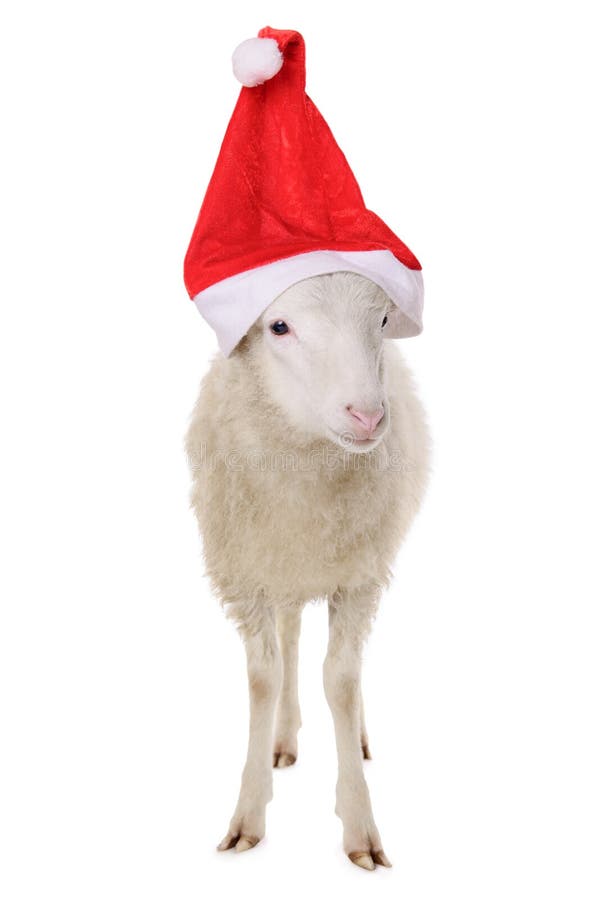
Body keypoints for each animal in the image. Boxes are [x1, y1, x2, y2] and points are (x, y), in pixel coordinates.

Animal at [186, 271, 430, 869]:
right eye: (278, 326)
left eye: (383, 320)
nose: (368, 416)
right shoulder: (247, 574)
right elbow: (263, 679)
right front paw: (248, 816)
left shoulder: (358, 578)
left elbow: (341, 681)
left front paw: (359, 825)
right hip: (285, 565)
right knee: (291, 636)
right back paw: (283, 738)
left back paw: (356, 739)